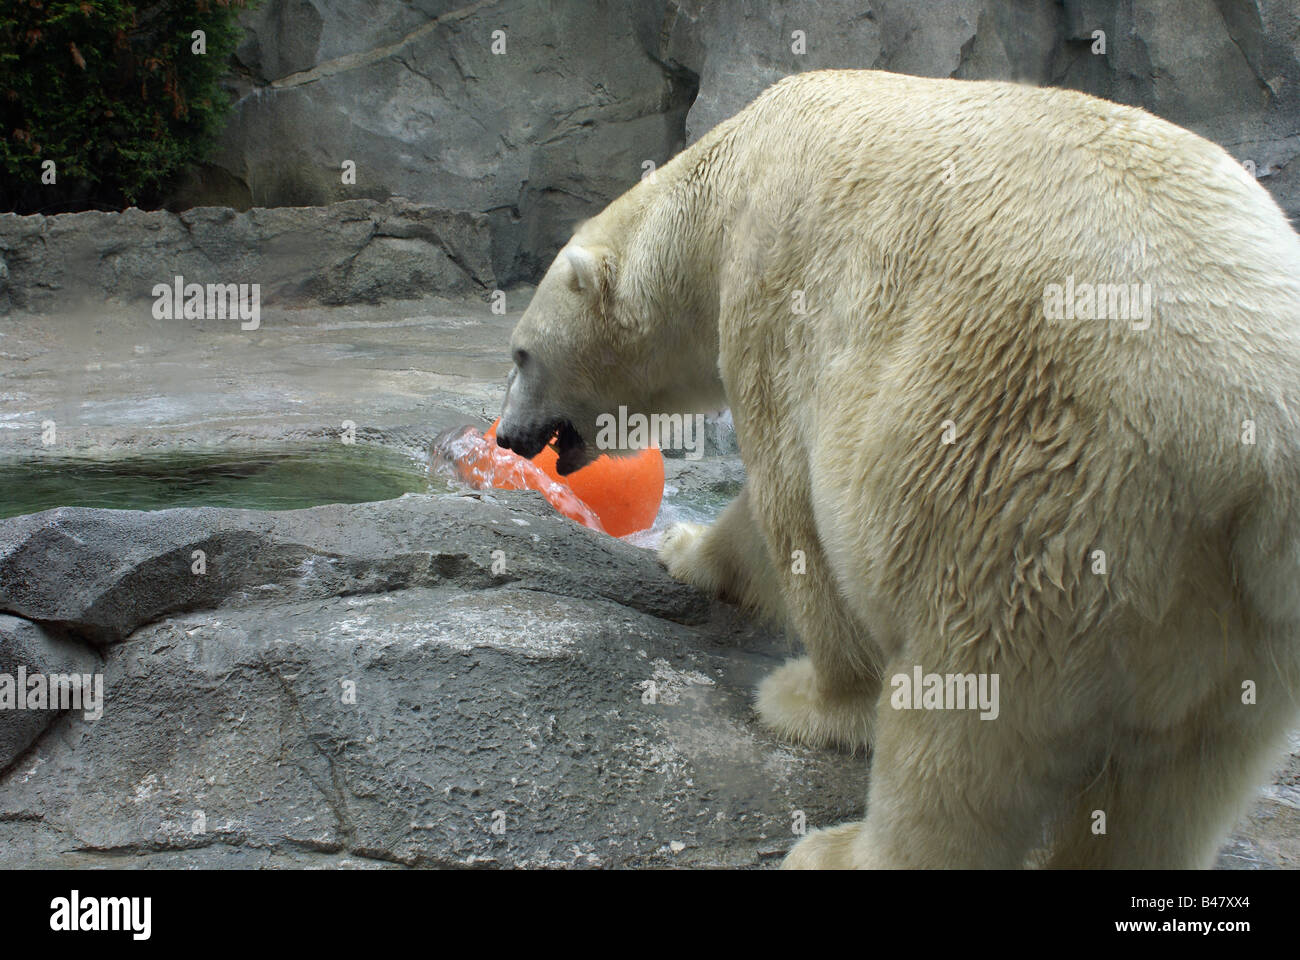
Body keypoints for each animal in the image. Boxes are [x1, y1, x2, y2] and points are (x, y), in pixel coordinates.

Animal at [496, 69, 1300, 868]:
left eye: (521, 354)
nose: (507, 436)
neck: (723, 193)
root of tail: (1262, 450)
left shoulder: (771, 296)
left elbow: (793, 504)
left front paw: (810, 693)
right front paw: (686, 548)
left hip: (1041, 493)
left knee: (965, 720)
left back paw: (838, 840)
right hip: (1237, 623)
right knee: (1177, 783)